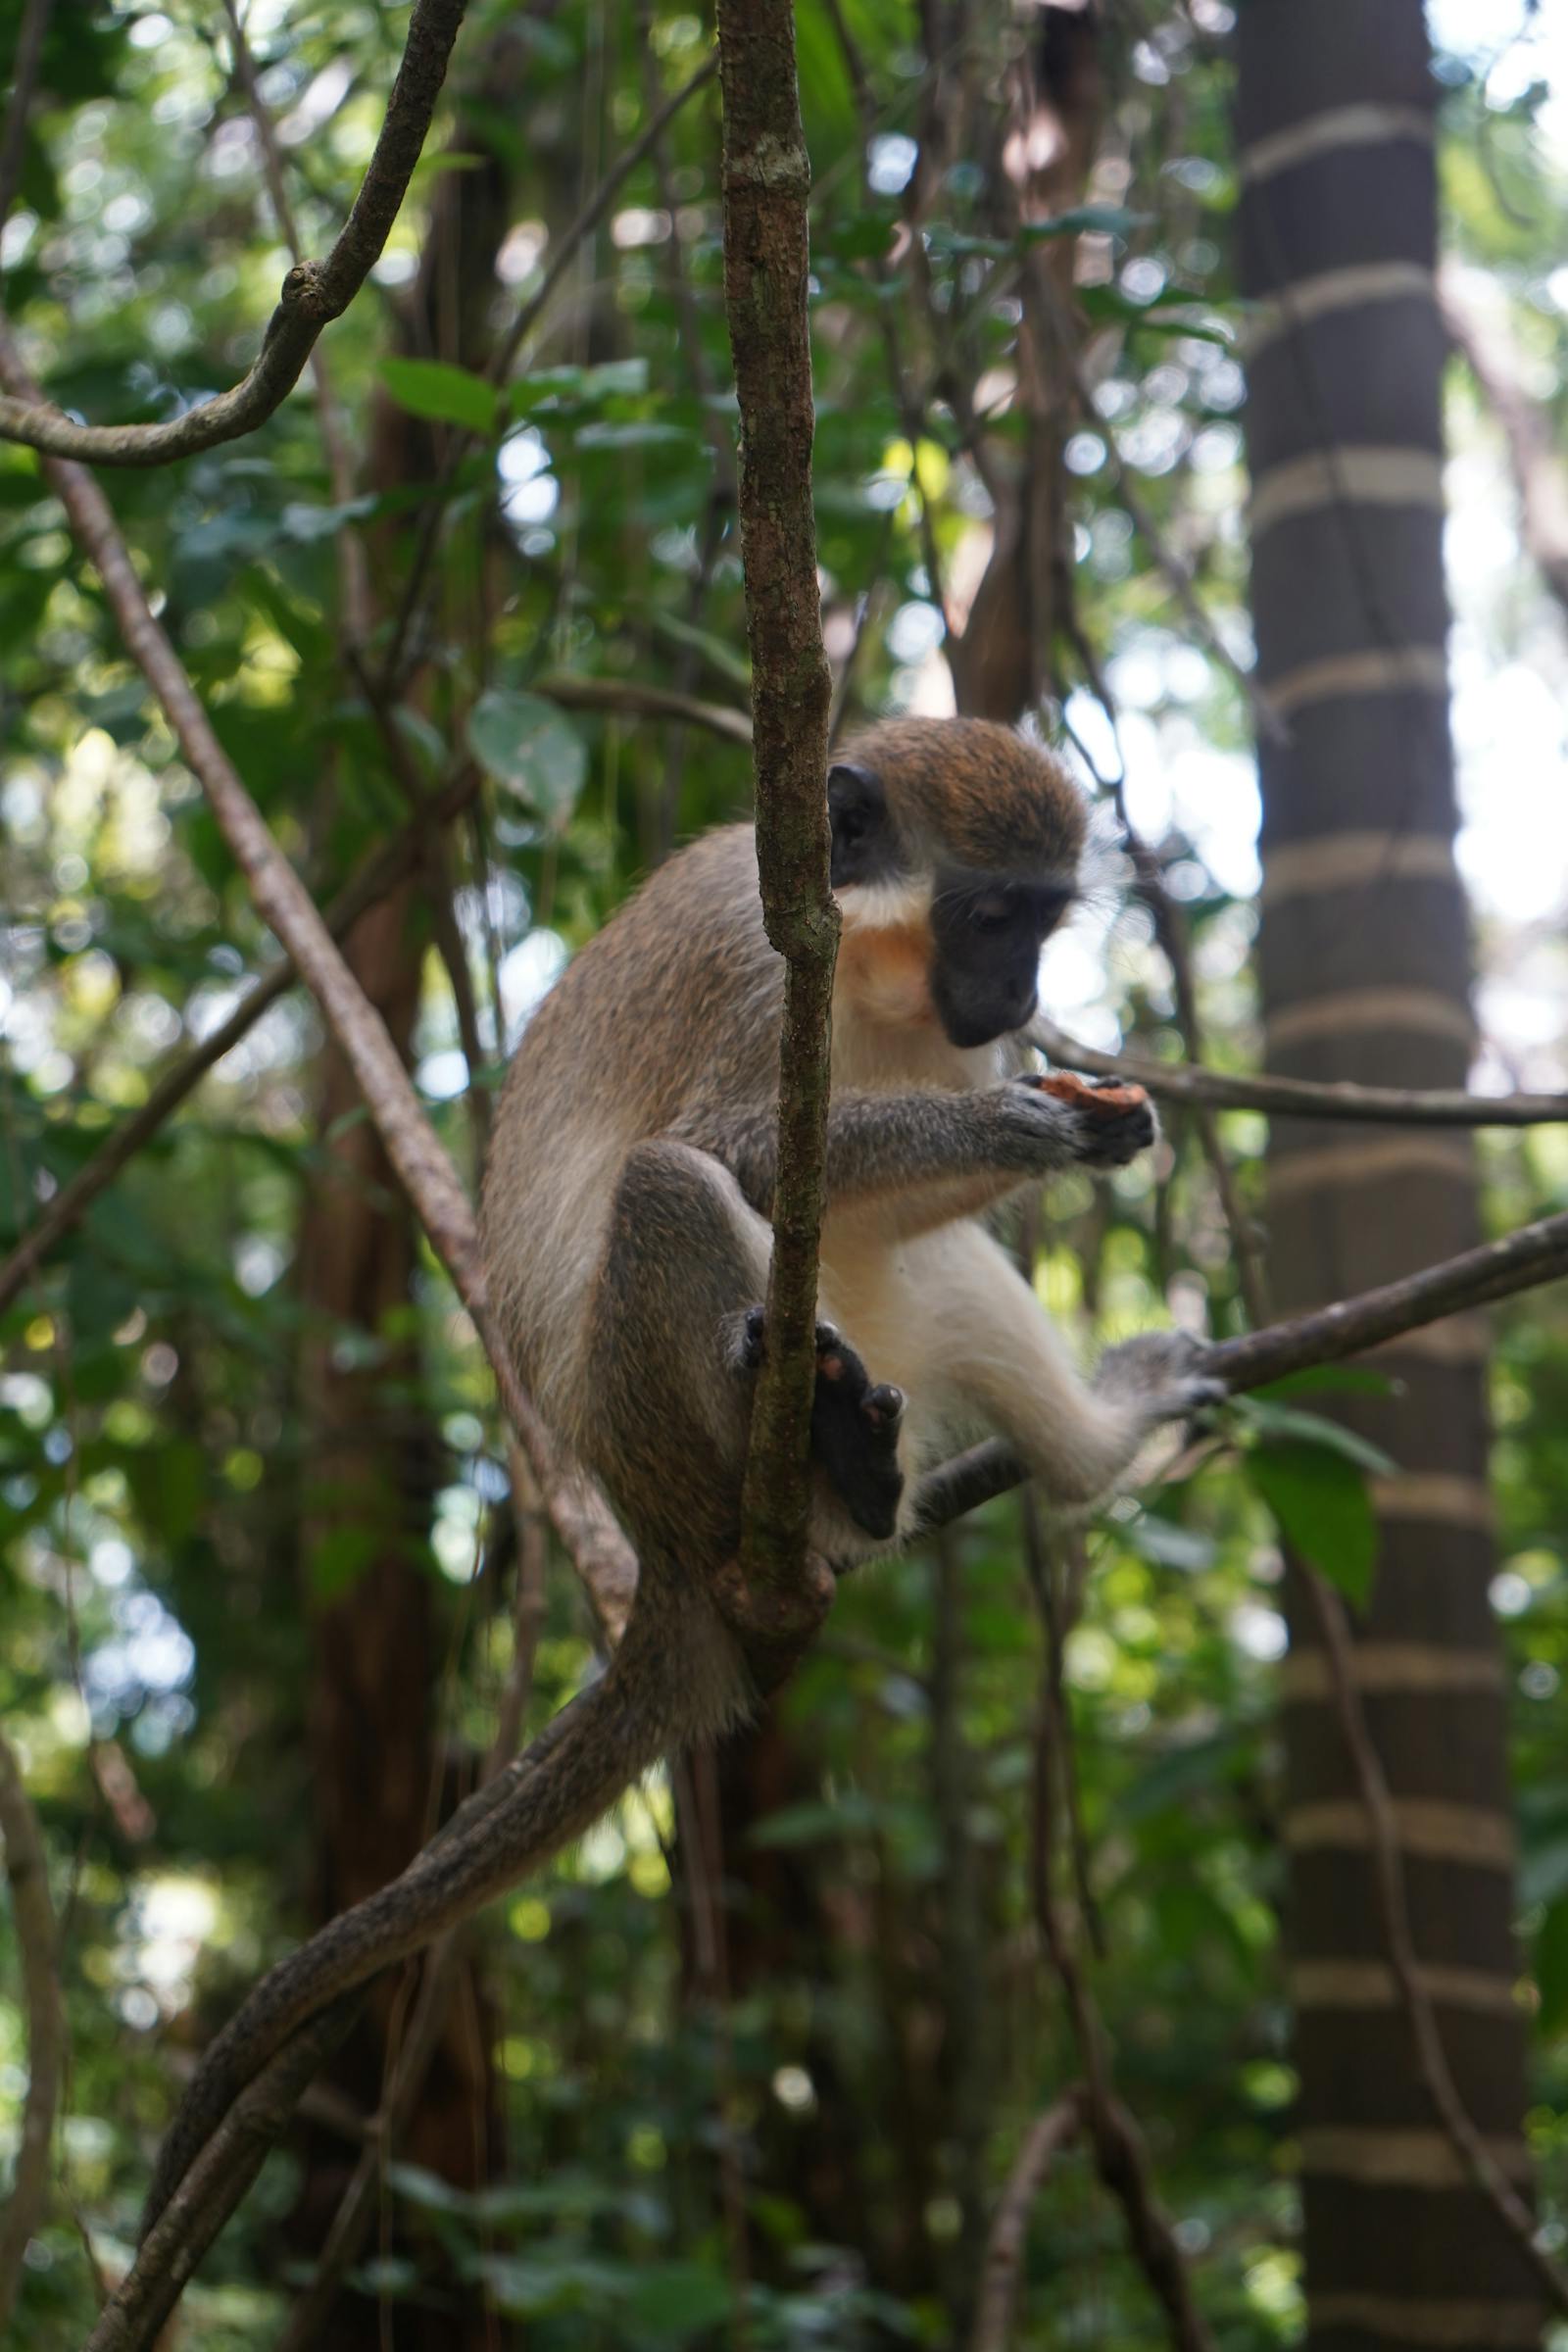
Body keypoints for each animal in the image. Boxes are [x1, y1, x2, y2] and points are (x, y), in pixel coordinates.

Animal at [141, 716, 1219, 2240]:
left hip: (863, 1345)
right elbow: (734, 1150)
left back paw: (1046, 1453)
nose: (1020, 994)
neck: (868, 963)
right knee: (667, 1184)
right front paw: (1033, 1132)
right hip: (658, 1422)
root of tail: (647, 1532)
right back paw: (823, 1471)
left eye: (1045, 922)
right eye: (991, 916)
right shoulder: (758, 967)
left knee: (929, 1270)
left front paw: (1095, 1116)